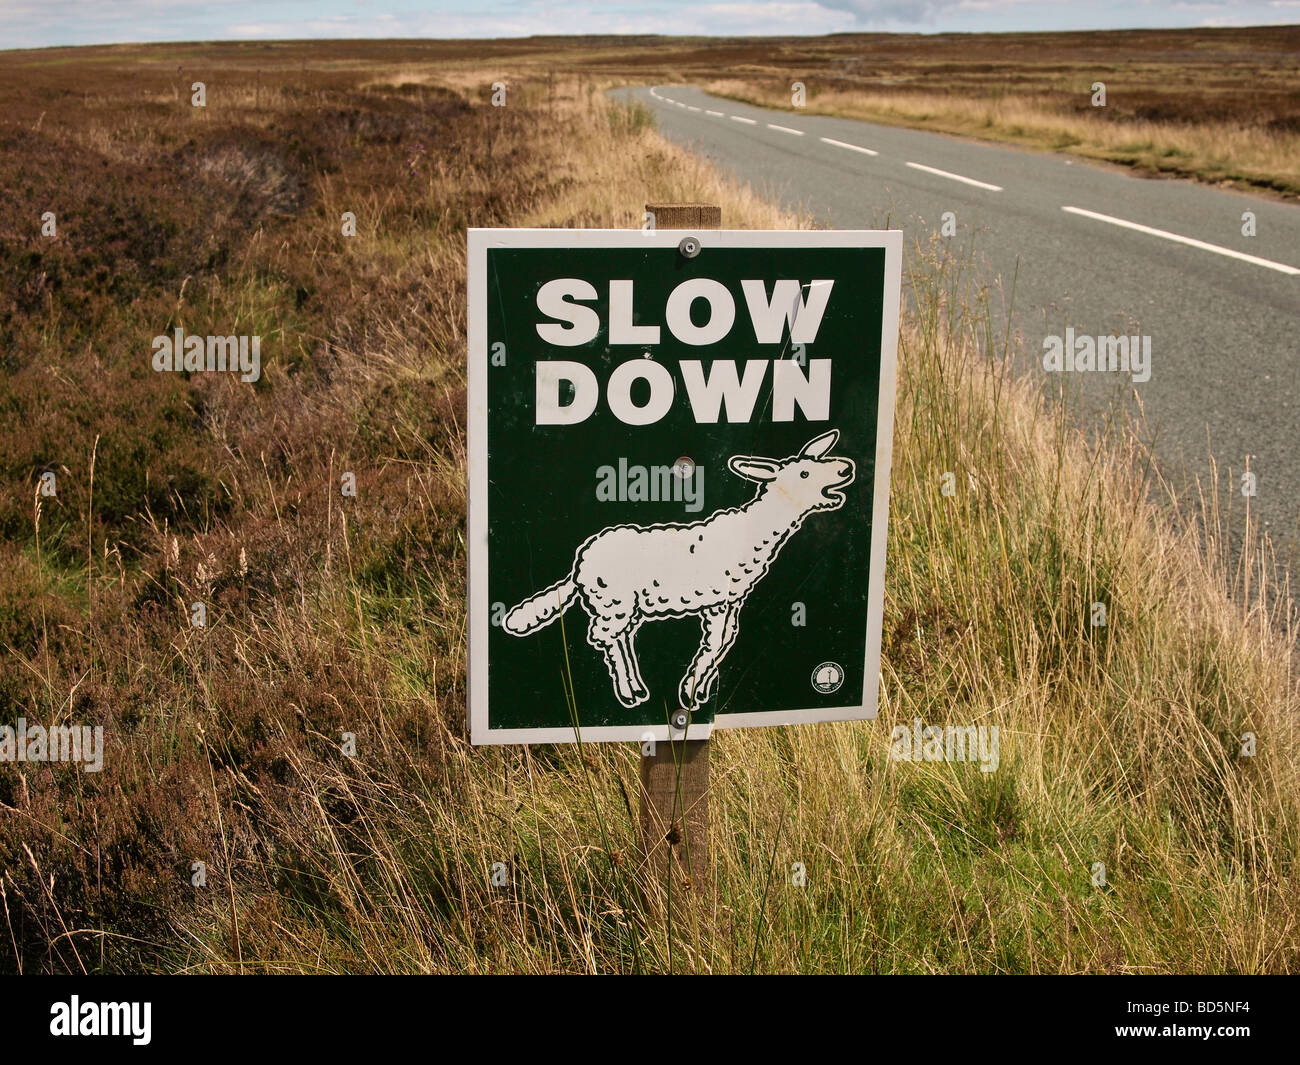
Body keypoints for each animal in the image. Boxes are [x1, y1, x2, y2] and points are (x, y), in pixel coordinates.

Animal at [502, 429, 855, 711]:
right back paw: (628, 694)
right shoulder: (718, 599)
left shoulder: (733, 600)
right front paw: (689, 693)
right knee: (603, 637)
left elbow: (726, 640)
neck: (750, 534)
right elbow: (715, 643)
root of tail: (578, 568)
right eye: (804, 474)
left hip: (626, 605)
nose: (847, 467)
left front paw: (699, 693)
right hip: (612, 601)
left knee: (621, 638)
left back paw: (638, 688)